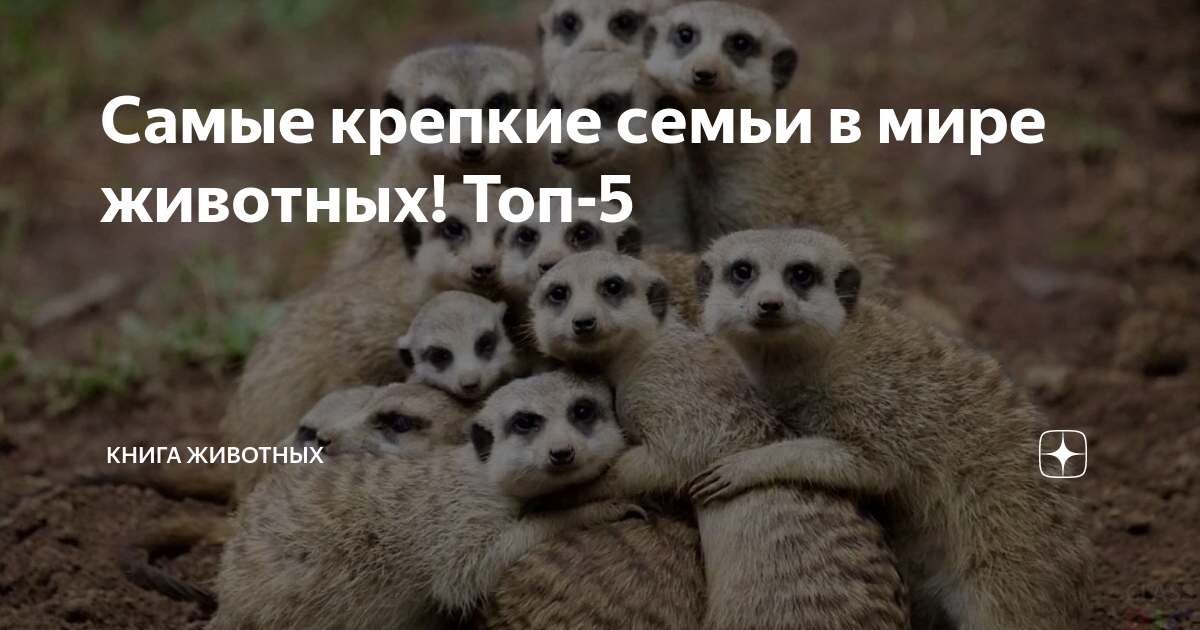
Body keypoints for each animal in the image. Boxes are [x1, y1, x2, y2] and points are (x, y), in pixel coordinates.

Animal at [207, 371, 643, 630]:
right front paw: (587, 510)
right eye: (525, 423)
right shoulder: (458, 514)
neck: (480, 473)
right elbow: (468, 570)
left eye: (582, 411)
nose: (562, 452)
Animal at [528, 251, 908, 630]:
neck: (645, 348)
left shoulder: (664, 387)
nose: (584, 321)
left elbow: (665, 462)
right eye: (558, 292)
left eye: (612, 286)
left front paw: (566, 493)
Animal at [690, 228, 1094, 630]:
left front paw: (746, 465)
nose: (770, 304)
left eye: (801, 274)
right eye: (742, 271)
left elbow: (873, 466)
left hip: (1008, 553)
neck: (820, 355)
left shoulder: (877, 399)